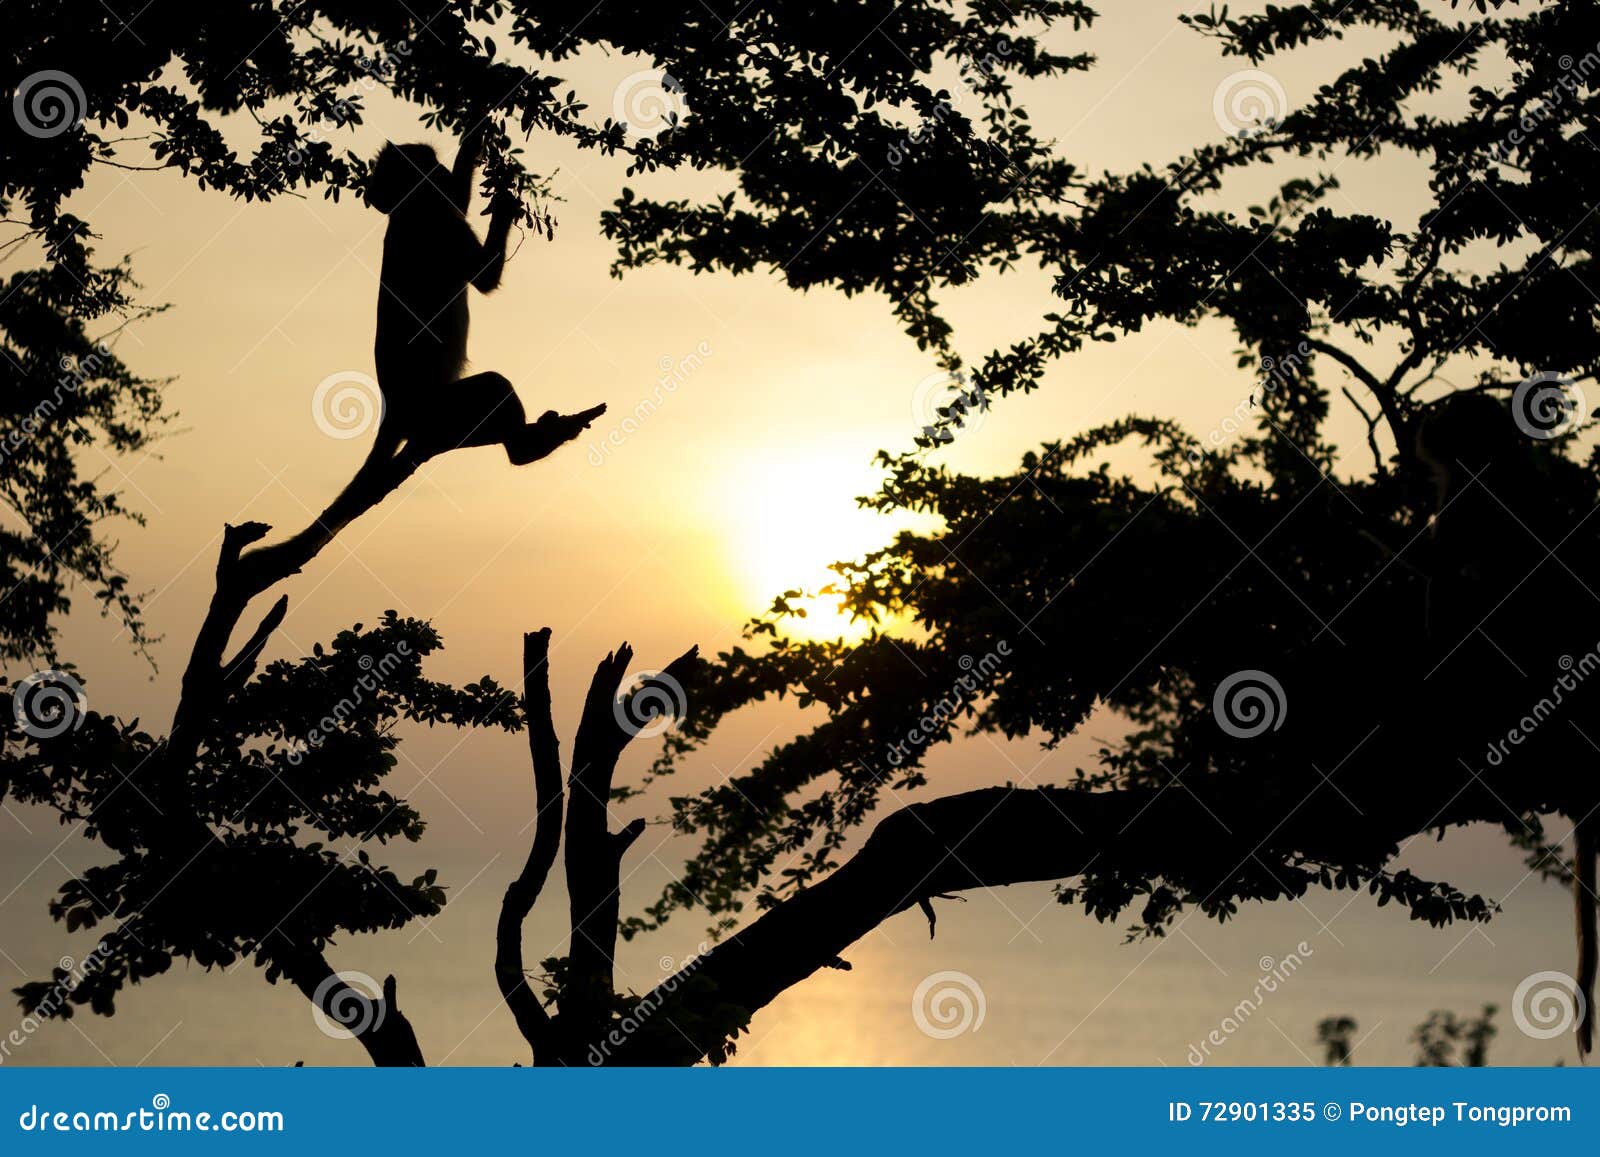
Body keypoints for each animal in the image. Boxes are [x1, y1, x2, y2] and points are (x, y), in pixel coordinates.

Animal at [364, 124, 604, 464]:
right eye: (429, 163)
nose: (440, 169)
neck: (407, 208)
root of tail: (394, 413)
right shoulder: (442, 226)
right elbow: (484, 277)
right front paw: (503, 205)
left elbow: (458, 199)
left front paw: (477, 123)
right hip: (438, 407)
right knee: (495, 386)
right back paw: (525, 448)